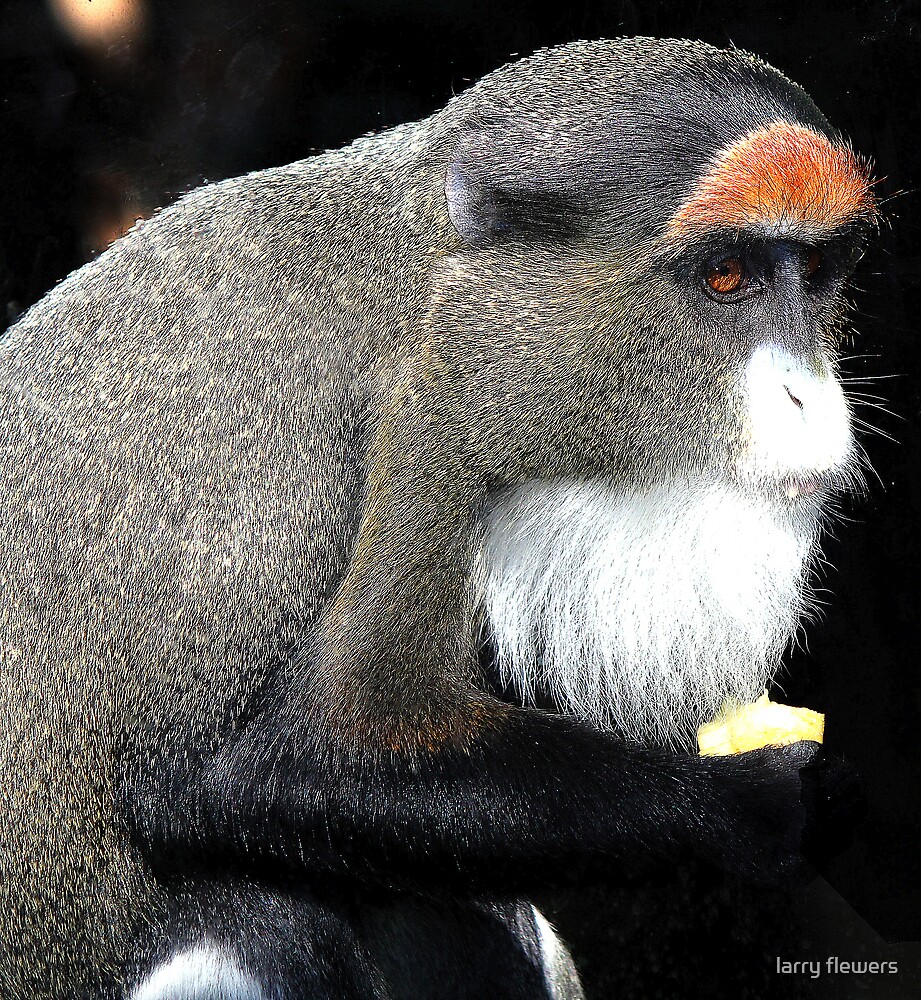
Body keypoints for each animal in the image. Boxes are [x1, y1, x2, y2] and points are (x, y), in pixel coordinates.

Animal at [0, 36, 877, 1000]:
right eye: (727, 276)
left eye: (816, 274)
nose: (808, 397)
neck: (420, 265)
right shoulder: (425, 408)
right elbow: (266, 765)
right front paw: (749, 808)